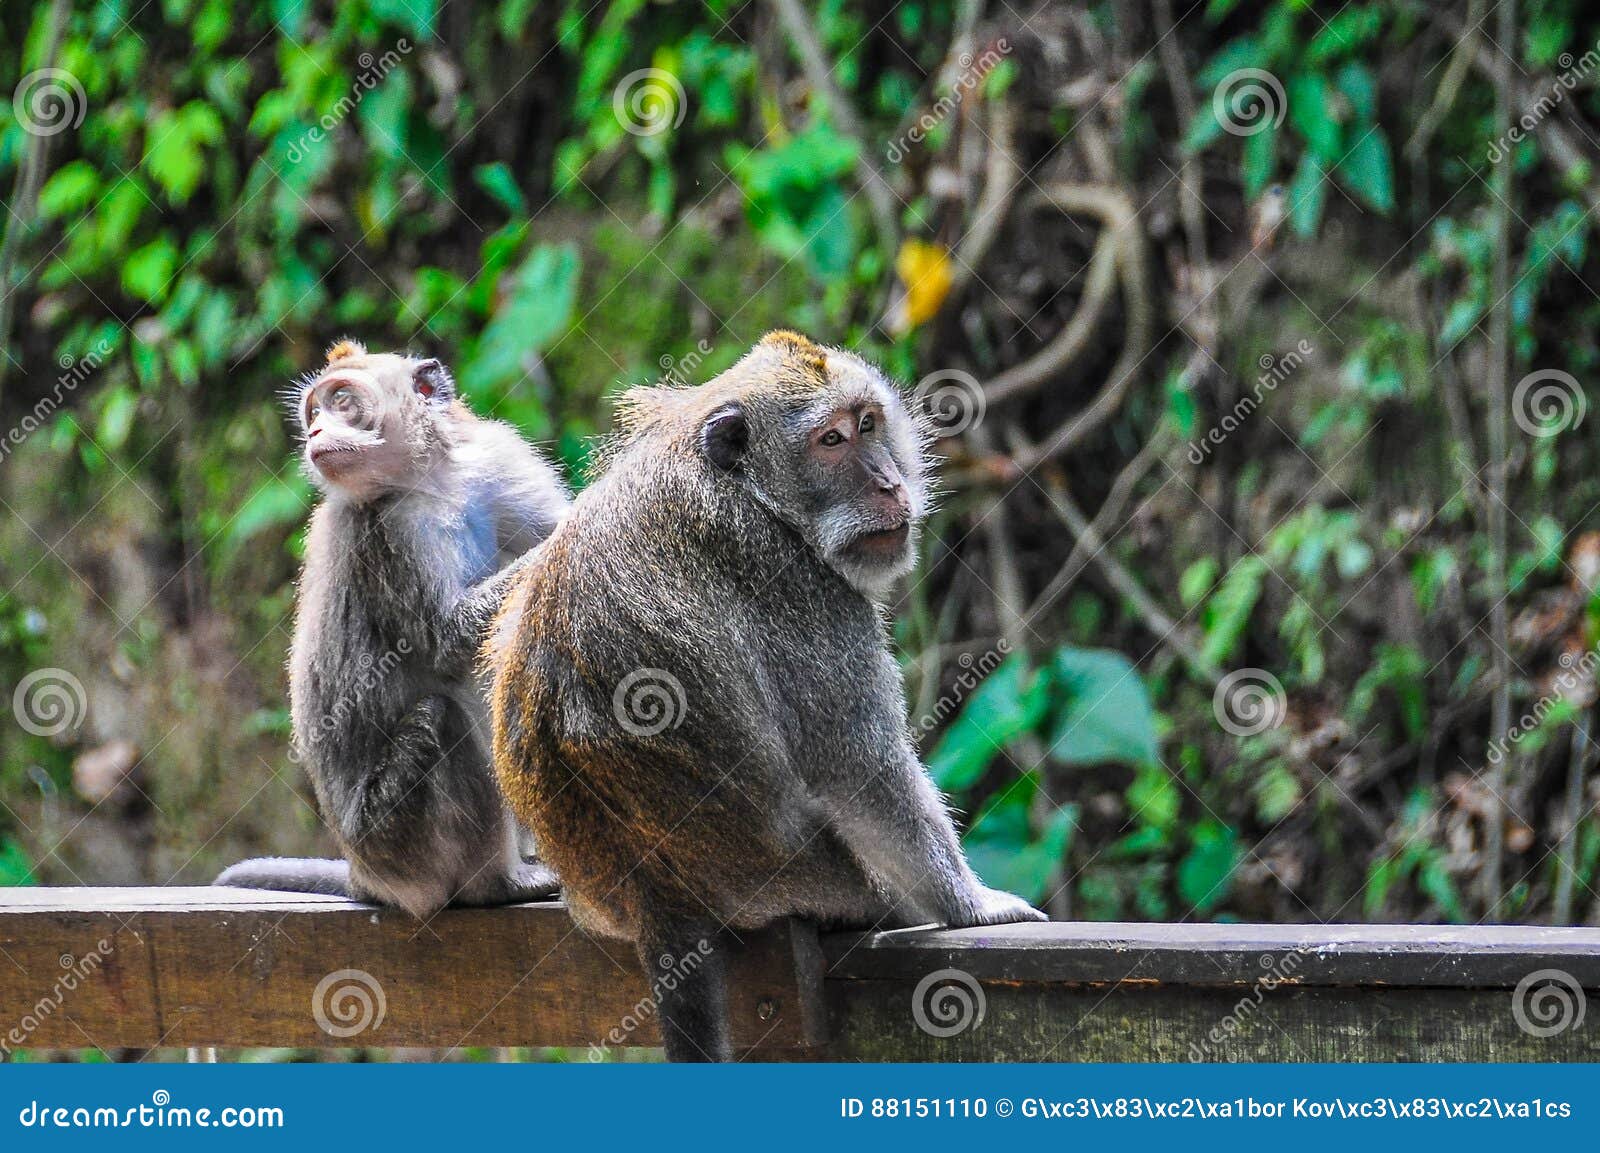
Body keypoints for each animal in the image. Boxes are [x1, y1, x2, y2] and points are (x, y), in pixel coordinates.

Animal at [215, 340, 570, 918]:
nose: (315, 431)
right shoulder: (387, 531)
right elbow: (447, 640)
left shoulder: (500, 460)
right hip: (397, 836)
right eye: (313, 412)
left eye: (341, 400)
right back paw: (497, 885)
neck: (432, 480)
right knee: (440, 721)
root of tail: (365, 876)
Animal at [487, 330, 1044, 1061]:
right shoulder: (798, 584)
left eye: (870, 424)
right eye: (831, 440)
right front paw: (971, 905)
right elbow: (858, 769)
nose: (890, 483)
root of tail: (652, 892)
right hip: (813, 881)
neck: (744, 486)